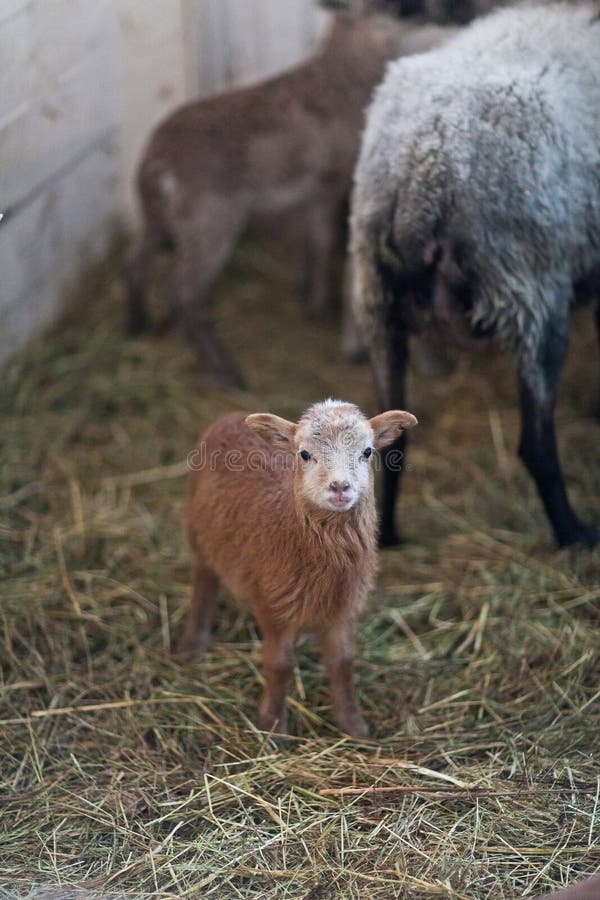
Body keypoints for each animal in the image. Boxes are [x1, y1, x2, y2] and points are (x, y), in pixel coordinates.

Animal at [125, 7, 452, 388]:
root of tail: (156, 164)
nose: (429, 21)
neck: (342, 78)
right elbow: (322, 241)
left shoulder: (309, 193)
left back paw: (136, 325)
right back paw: (224, 371)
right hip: (208, 217)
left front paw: (306, 293)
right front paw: (320, 306)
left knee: (136, 259)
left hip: (156, 213)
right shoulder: (327, 182)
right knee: (183, 291)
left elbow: (306, 241)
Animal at [179, 399, 417, 736]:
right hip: (199, 533)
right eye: (304, 454)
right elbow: (280, 665)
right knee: (204, 580)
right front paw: (272, 725)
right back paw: (193, 646)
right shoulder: (273, 605)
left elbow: (343, 662)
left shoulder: (345, 607)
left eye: (368, 451)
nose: (340, 487)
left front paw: (353, 725)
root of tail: (232, 416)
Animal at [351, 1, 600, 549]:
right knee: (536, 444)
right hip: (531, 295)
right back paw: (574, 534)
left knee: (385, 445)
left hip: (376, 303)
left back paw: (387, 537)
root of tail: (422, 176)